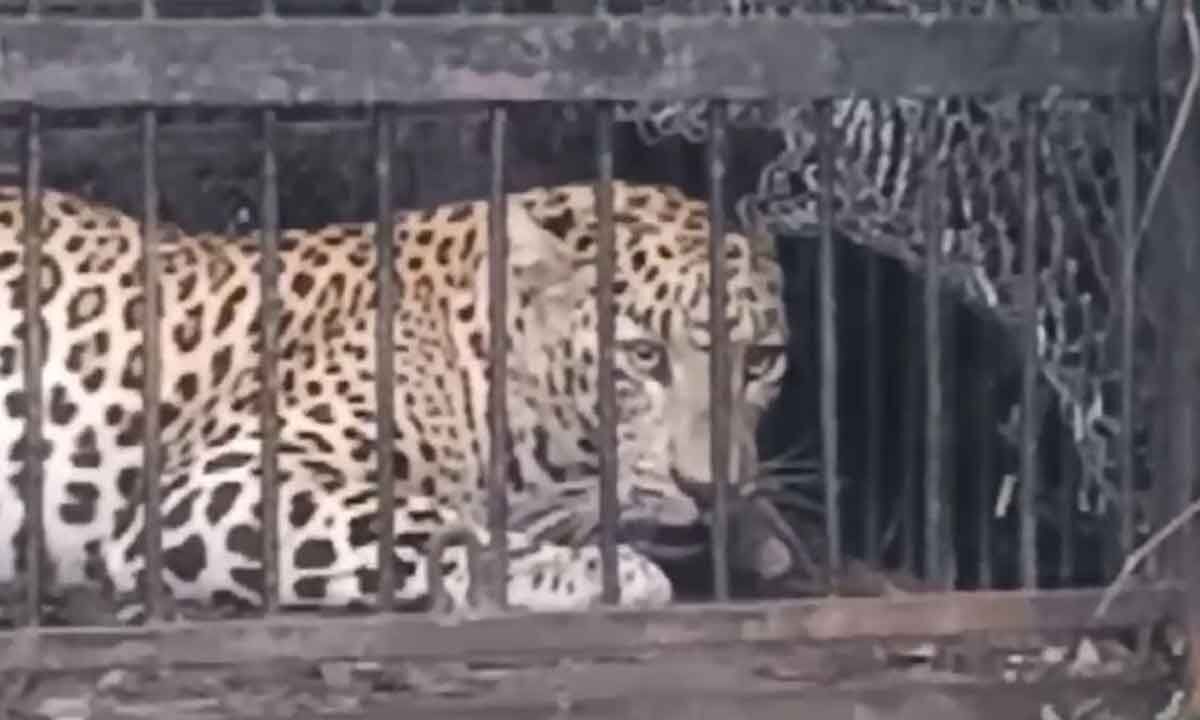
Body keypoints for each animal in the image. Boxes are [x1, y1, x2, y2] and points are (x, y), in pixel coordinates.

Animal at [0, 179, 788, 623]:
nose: (708, 487)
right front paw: (609, 574)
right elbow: (440, 524)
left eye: (761, 361)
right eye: (644, 355)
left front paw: (758, 531)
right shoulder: (221, 483)